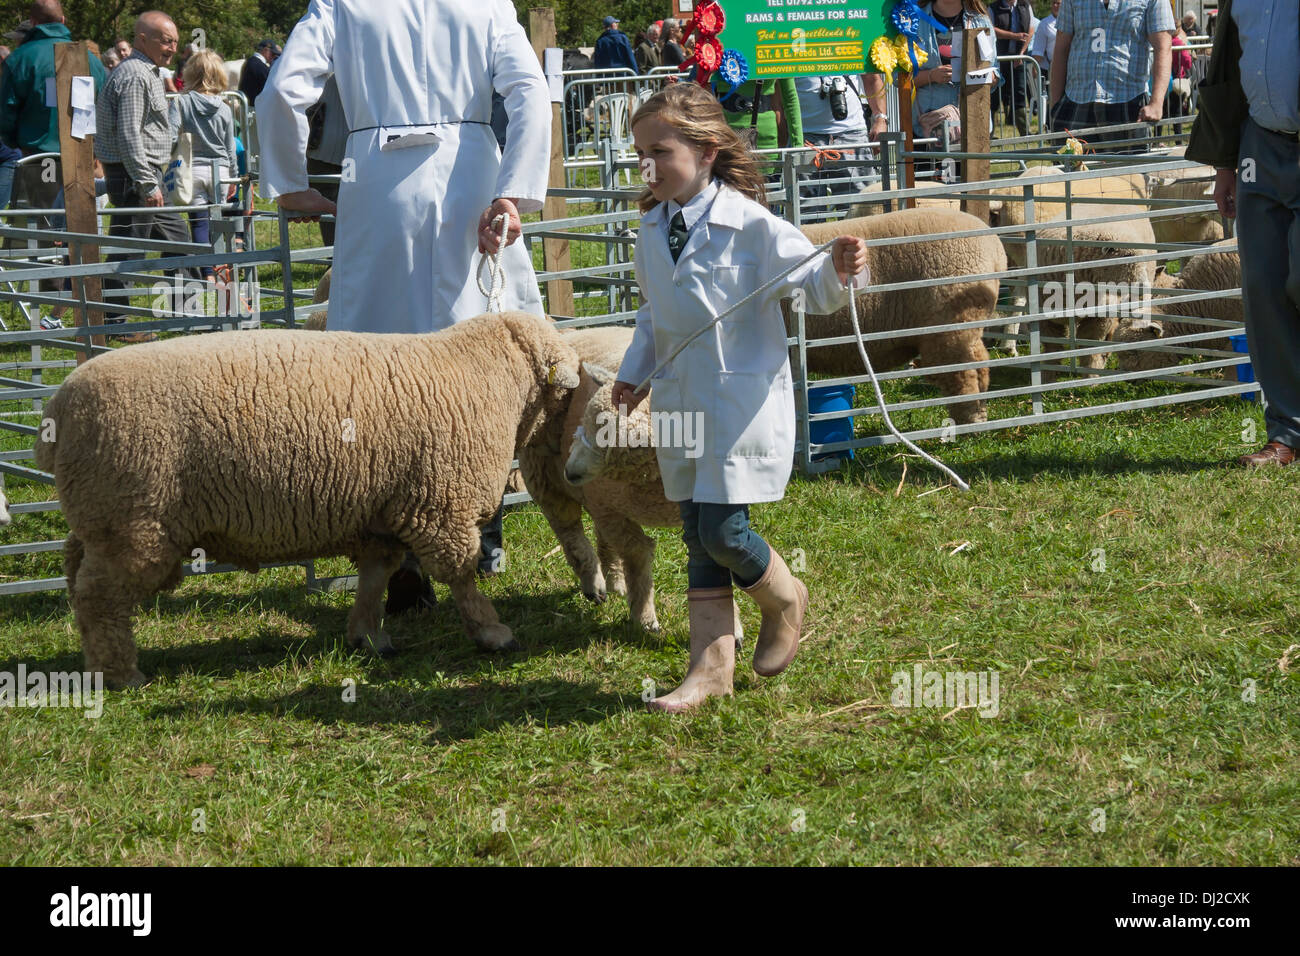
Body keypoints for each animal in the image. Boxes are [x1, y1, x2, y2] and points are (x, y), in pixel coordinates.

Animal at [33, 313, 581, 689]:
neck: (490, 376)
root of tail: (57, 412)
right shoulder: (441, 505)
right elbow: (461, 575)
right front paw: (492, 633)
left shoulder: (382, 512)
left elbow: (376, 574)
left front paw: (367, 636)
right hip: (132, 523)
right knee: (99, 595)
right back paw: (121, 674)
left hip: (100, 516)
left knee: (76, 573)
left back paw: (94, 663)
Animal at [793, 208, 1006, 425]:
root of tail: (996, 250)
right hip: (965, 324)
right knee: (980, 366)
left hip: (950, 328)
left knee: (963, 376)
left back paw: (969, 422)